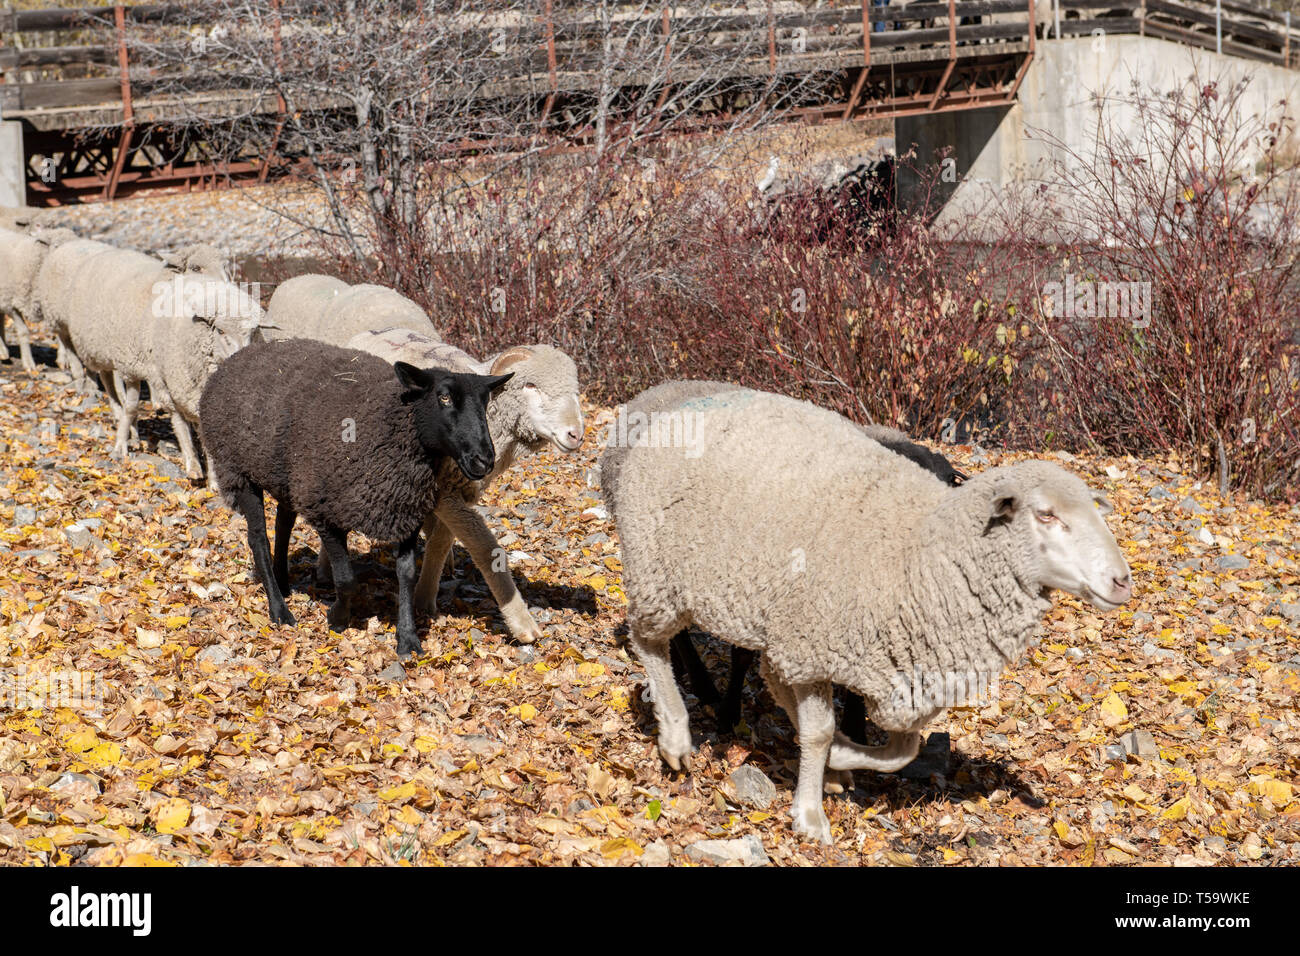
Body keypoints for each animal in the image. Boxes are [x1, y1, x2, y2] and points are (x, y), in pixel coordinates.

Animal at [0, 225, 79, 372]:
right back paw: (2, 350)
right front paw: (29, 363)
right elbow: (24, 332)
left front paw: (63, 360)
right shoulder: (13, 304)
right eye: (56, 246)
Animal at [198, 339, 512, 656]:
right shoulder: (325, 510)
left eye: (485, 402)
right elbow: (347, 579)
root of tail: (238, 357)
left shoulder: (406, 509)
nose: (484, 460)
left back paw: (284, 583)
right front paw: (337, 618)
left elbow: (407, 574)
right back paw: (280, 610)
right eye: (444, 397)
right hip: (238, 470)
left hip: (287, 476)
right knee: (259, 539)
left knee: (283, 525)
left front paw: (408, 639)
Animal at [341, 327, 585, 643]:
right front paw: (522, 623)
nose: (576, 434)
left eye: (575, 391)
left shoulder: (458, 492)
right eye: (531, 385)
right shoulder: (443, 490)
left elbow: (441, 541)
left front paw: (424, 599)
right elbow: (485, 547)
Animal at [600, 383, 1133, 844]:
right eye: (1046, 515)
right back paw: (675, 734)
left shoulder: (871, 663)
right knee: (650, 643)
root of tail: (677, 405)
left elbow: (901, 749)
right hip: (656, 571)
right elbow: (819, 732)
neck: (921, 549)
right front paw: (811, 811)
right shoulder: (809, 643)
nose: (1122, 581)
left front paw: (839, 764)